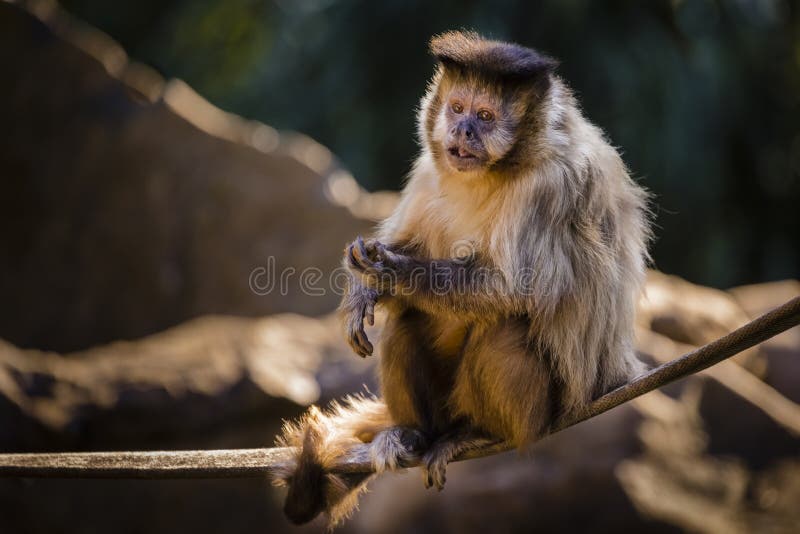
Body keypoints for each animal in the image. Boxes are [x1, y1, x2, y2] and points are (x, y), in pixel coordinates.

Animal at [273, 30, 651, 528]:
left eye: (485, 117)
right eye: (457, 108)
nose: (464, 131)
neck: (496, 171)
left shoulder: (550, 185)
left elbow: (511, 290)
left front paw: (388, 272)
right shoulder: (430, 169)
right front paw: (365, 291)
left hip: (546, 409)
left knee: (504, 328)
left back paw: (477, 433)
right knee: (409, 321)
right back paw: (414, 434)